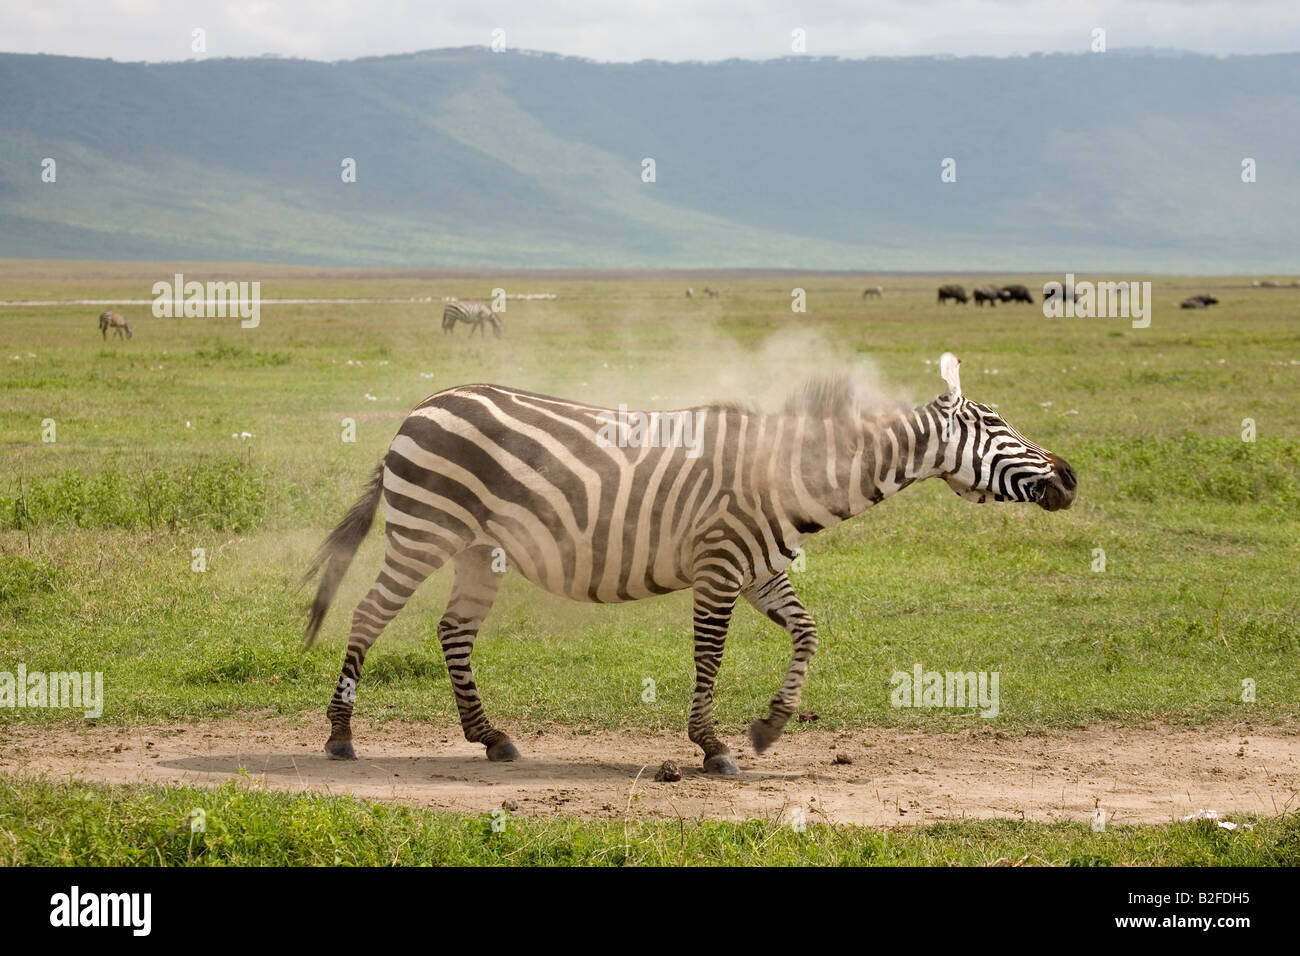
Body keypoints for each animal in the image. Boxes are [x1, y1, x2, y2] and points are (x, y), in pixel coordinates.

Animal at [303, 353, 1077, 773]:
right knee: (369, 615)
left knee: (453, 631)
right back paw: (340, 736)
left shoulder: (760, 570)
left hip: (475, 549)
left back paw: (490, 737)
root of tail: (424, 404)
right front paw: (712, 746)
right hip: (424, 531)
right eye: (999, 425)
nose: (1070, 478)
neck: (790, 474)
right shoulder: (719, 565)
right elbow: (710, 657)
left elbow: (808, 633)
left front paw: (770, 726)